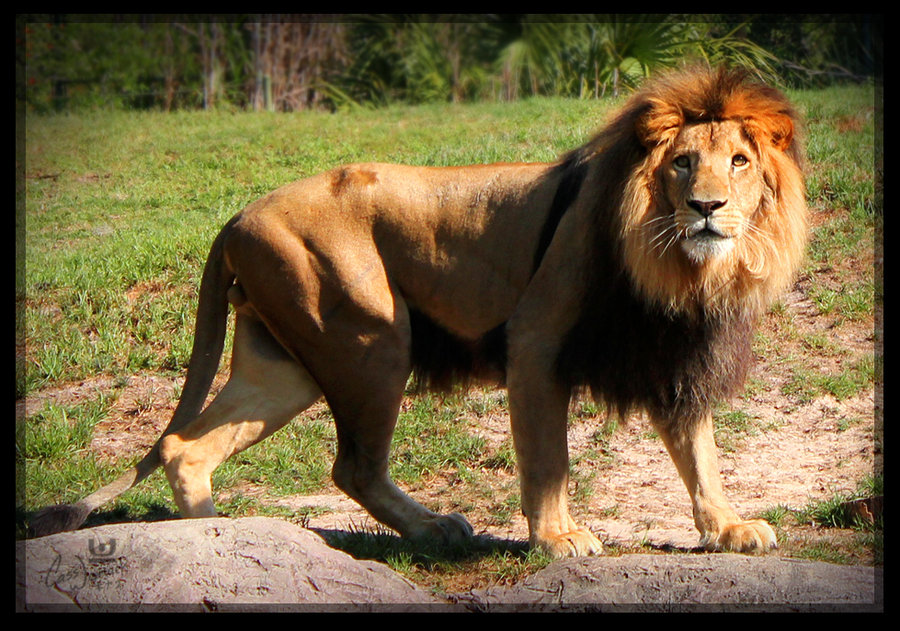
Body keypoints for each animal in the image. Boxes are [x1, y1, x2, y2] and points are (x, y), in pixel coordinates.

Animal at [29, 66, 807, 558]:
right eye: (682, 163)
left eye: (738, 161)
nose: (706, 207)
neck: (677, 266)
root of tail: (236, 216)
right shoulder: (535, 344)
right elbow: (548, 458)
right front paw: (557, 539)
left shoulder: (674, 358)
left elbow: (700, 454)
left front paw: (729, 527)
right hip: (370, 338)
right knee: (352, 466)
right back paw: (431, 529)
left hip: (285, 364)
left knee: (188, 448)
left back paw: (211, 540)